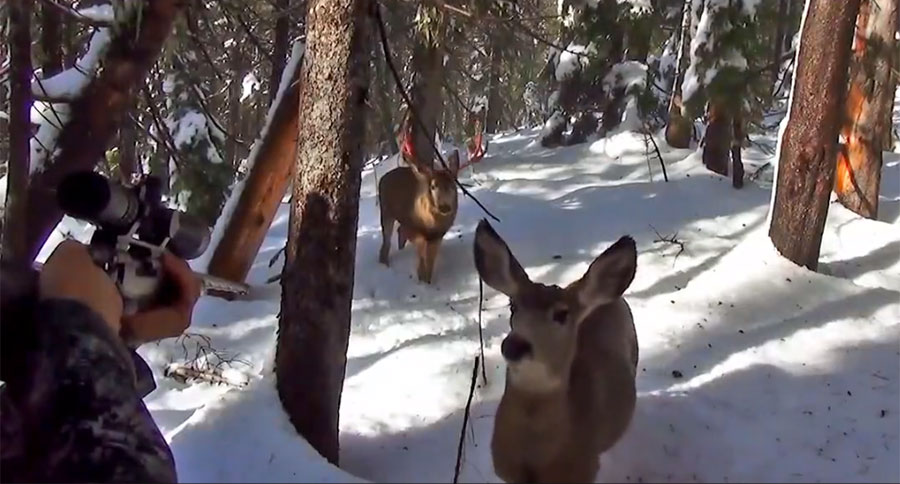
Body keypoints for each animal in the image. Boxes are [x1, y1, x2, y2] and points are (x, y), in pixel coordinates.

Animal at [377, 147, 460, 284]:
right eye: (433, 186)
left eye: (452, 185)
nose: (444, 206)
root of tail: (382, 178)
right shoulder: (415, 230)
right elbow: (422, 254)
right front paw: (421, 278)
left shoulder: (437, 236)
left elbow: (431, 259)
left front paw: (428, 281)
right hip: (386, 211)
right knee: (387, 239)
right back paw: (383, 263)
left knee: (399, 230)